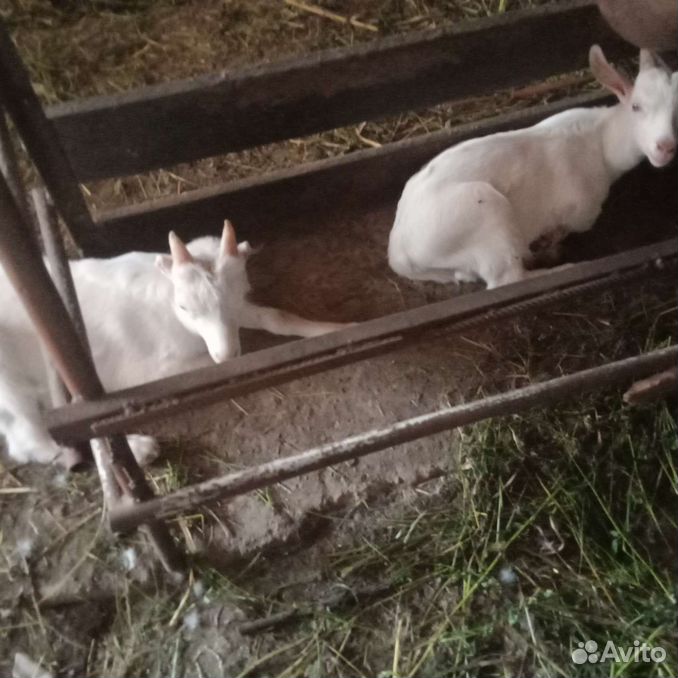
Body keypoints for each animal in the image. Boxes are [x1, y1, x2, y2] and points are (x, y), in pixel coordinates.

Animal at [0, 221, 347, 466]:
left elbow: (275, 317)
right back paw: (139, 448)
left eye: (238, 295)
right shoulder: (143, 369)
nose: (225, 354)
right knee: (30, 437)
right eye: (183, 306)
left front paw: (336, 329)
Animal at [388, 46, 678, 290]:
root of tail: (400, 253)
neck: (601, 140)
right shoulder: (581, 211)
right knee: (507, 279)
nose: (665, 146)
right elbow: (565, 228)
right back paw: (562, 269)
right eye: (636, 106)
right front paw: (548, 243)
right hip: (483, 220)